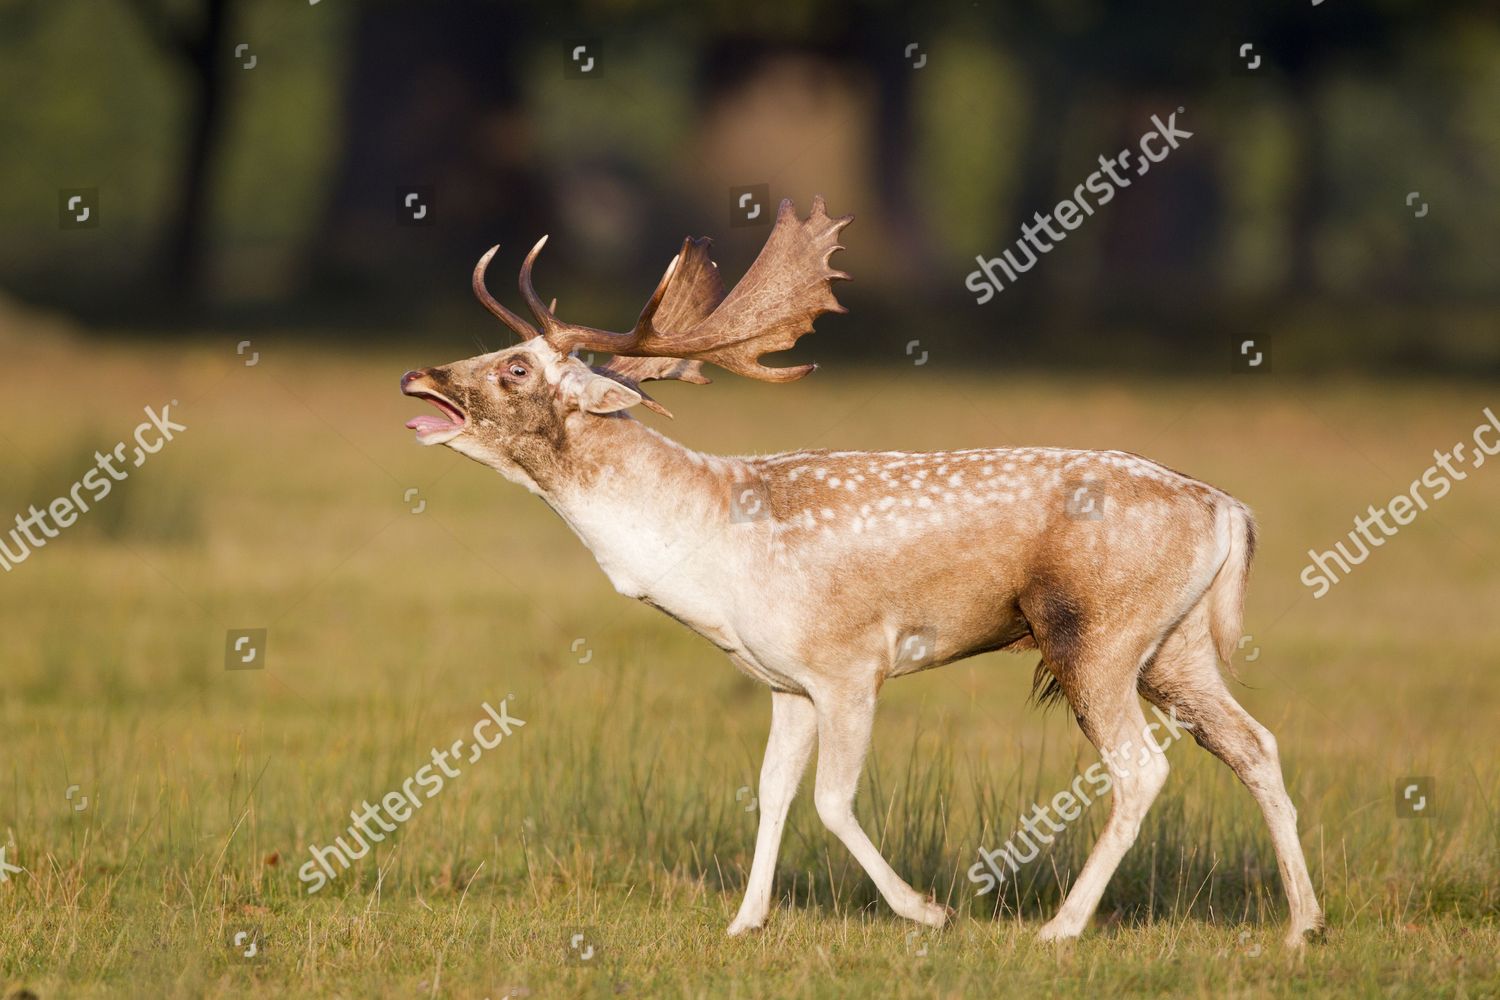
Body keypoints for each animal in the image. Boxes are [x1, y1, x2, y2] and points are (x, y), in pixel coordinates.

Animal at [400, 197, 1323, 948]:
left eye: (515, 366)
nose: (416, 374)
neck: (711, 550)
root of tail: (1227, 509)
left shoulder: (849, 663)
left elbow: (831, 800)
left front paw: (929, 912)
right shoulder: (785, 682)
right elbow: (771, 791)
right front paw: (744, 922)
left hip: (1097, 634)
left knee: (1142, 769)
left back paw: (1060, 929)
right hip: (1175, 646)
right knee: (1256, 743)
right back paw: (1302, 924)